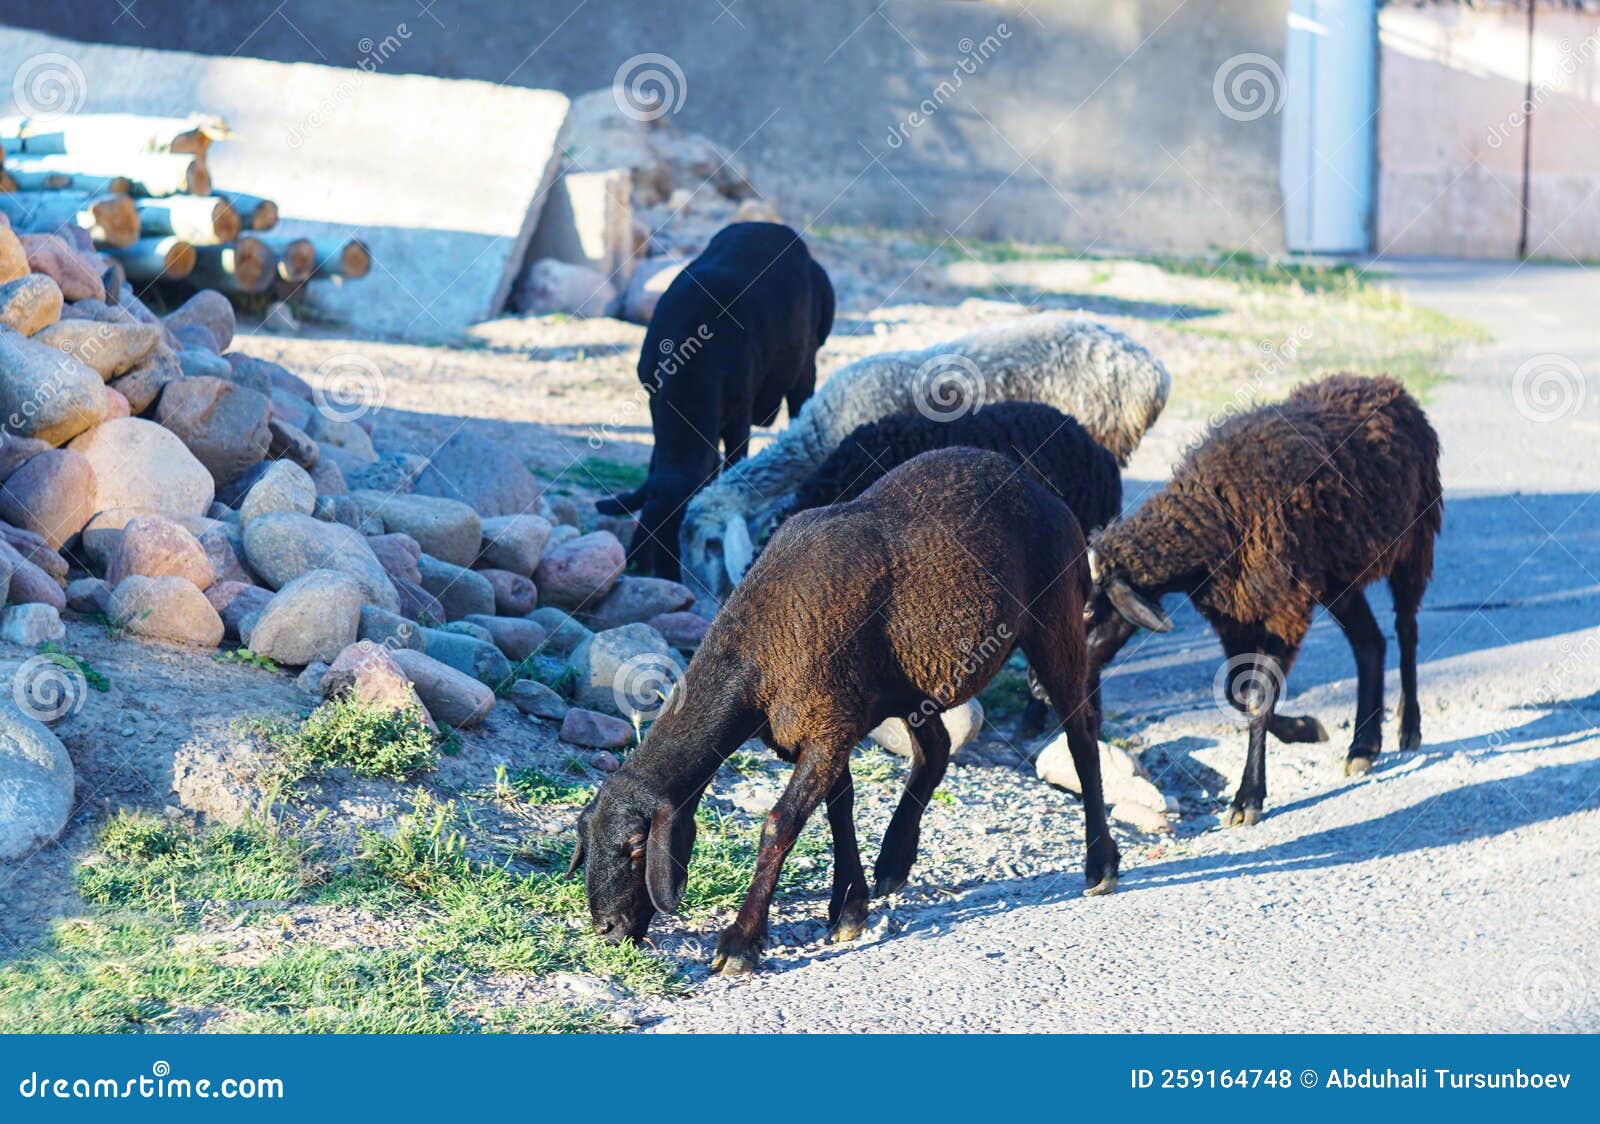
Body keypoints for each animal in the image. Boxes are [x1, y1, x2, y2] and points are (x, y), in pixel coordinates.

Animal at [572, 447, 1118, 974]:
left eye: (637, 848)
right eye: (588, 843)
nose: (607, 929)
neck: (757, 657)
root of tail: (1040, 490)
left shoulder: (827, 725)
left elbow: (781, 824)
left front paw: (741, 944)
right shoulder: (829, 724)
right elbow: (841, 808)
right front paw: (849, 908)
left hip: (1056, 620)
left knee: (1081, 735)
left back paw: (1101, 865)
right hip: (910, 677)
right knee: (936, 748)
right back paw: (894, 861)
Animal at [595, 222, 834, 580]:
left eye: (690, 535)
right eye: (650, 529)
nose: (666, 576)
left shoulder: (740, 410)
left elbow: (735, 462)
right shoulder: (653, 398)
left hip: (805, 370)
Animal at [1084, 373, 1442, 826]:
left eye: (1089, 609)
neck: (1213, 512)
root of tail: (1387, 384)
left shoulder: (1282, 610)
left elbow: (1258, 696)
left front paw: (1248, 797)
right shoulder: (1233, 615)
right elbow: (1236, 693)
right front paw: (1305, 728)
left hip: (1415, 541)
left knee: (1406, 630)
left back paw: (1408, 728)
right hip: (1335, 578)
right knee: (1370, 643)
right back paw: (1363, 746)